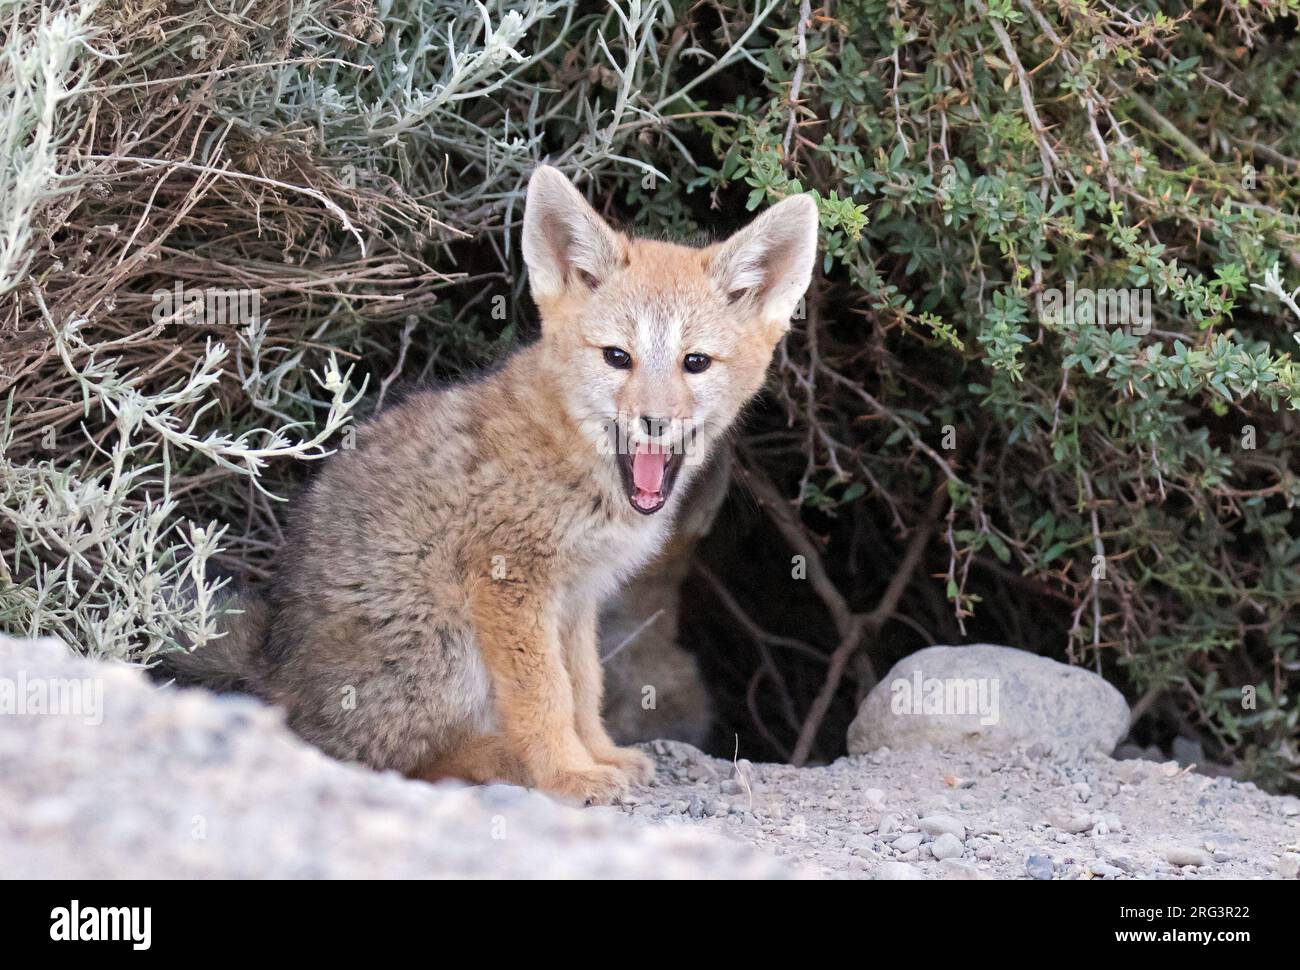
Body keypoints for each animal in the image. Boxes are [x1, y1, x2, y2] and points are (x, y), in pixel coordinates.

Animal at [167, 165, 818, 805]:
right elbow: (545, 696)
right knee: (394, 759)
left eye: (695, 363)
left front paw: (599, 754)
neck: (571, 457)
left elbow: (584, 687)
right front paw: (568, 774)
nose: (654, 422)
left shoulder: (576, 598)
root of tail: (273, 667)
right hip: (445, 638)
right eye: (617, 357)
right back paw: (502, 759)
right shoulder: (510, 580)